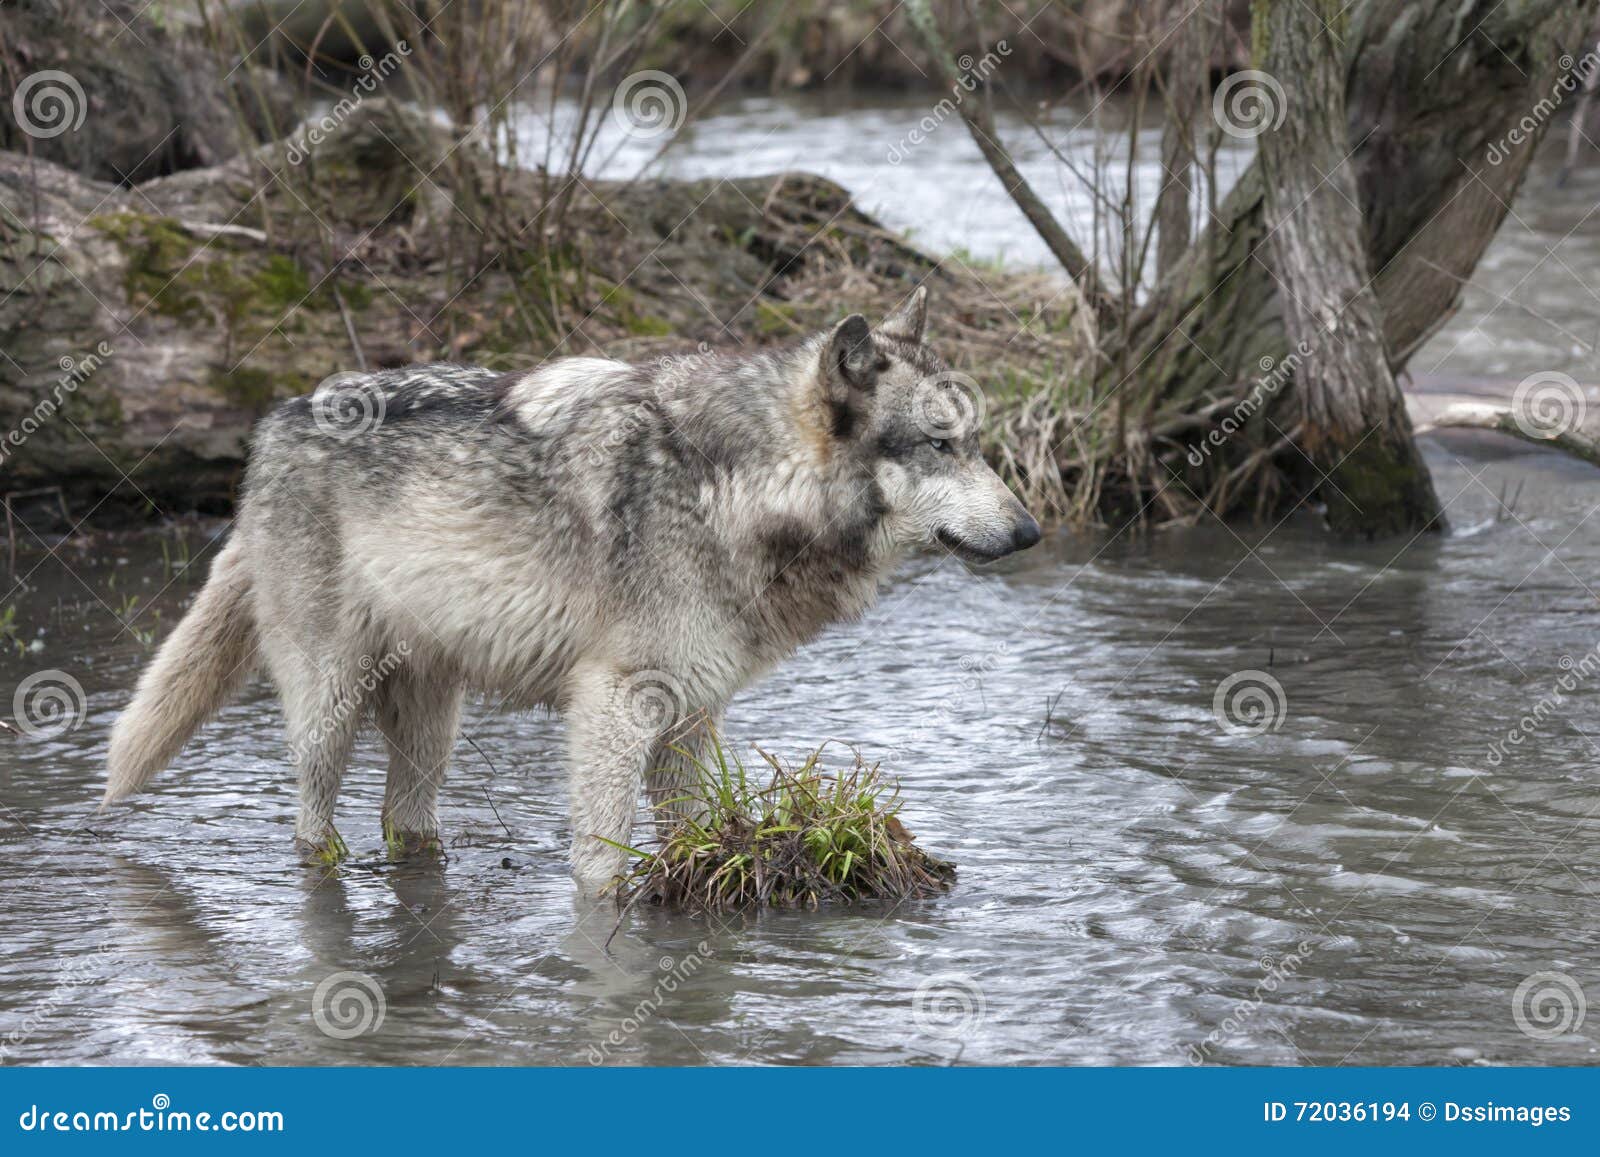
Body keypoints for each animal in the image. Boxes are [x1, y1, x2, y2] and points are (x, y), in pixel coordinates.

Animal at [104, 288, 1041, 890]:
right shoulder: (614, 707)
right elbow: (600, 866)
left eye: (978, 444)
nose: (1030, 530)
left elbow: (691, 836)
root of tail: (276, 422)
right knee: (311, 822)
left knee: (405, 820)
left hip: (433, 724)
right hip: (330, 706)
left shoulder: (691, 718)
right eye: (940, 445)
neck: (731, 488)